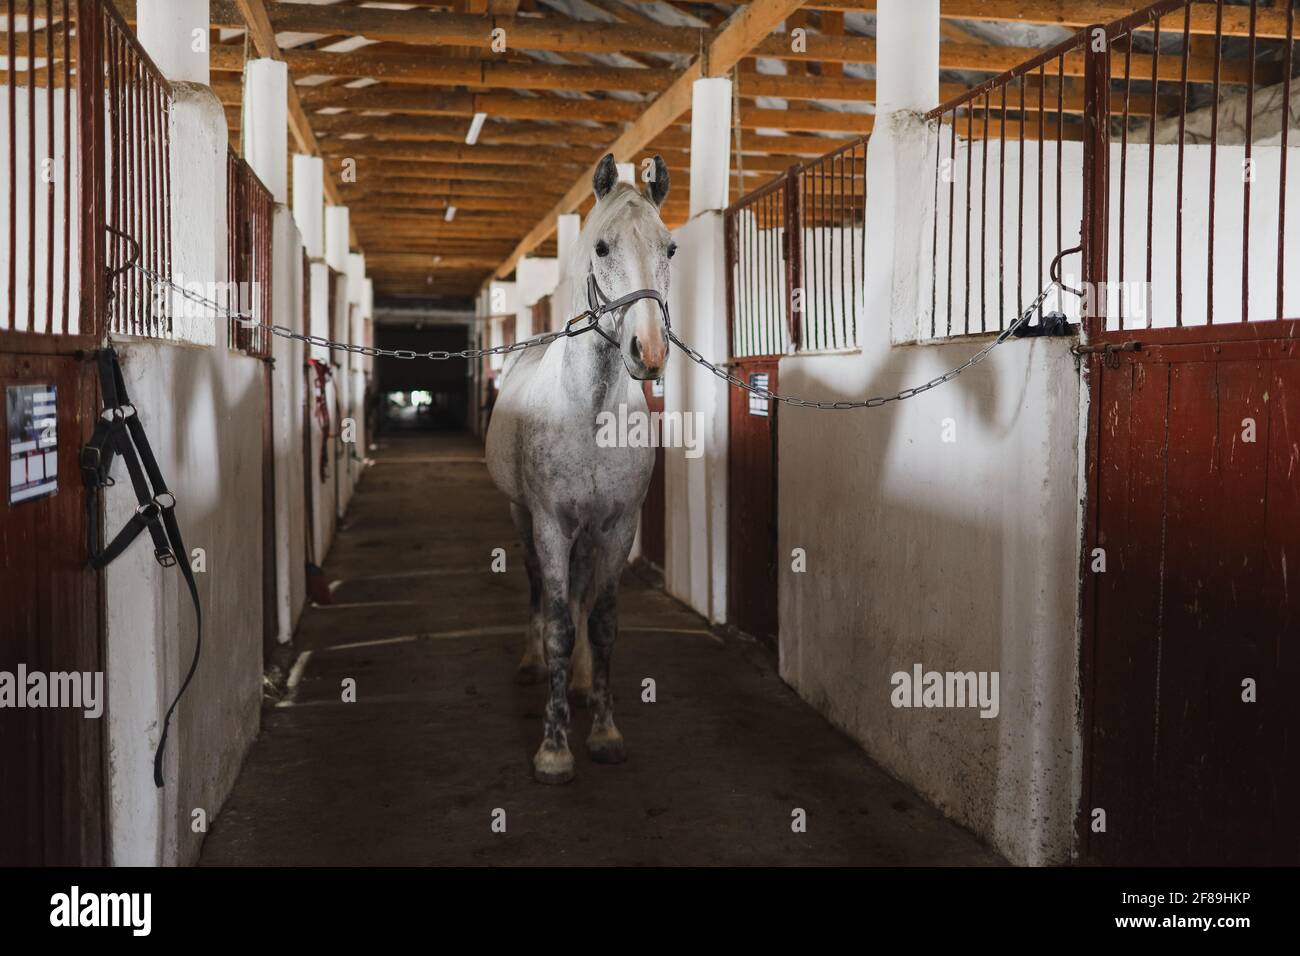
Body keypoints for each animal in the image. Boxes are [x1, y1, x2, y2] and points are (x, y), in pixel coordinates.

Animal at [485, 152, 674, 784]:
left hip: (591, 533)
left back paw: (584, 681)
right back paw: (531, 661)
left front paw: (605, 730)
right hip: (522, 516)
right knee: (538, 589)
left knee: (584, 595)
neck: (591, 414)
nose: (649, 352)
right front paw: (554, 748)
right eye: (602, 247)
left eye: (670, 248)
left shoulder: (617, 526)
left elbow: (602, 621)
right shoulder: (550, 524)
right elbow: (561, 624)